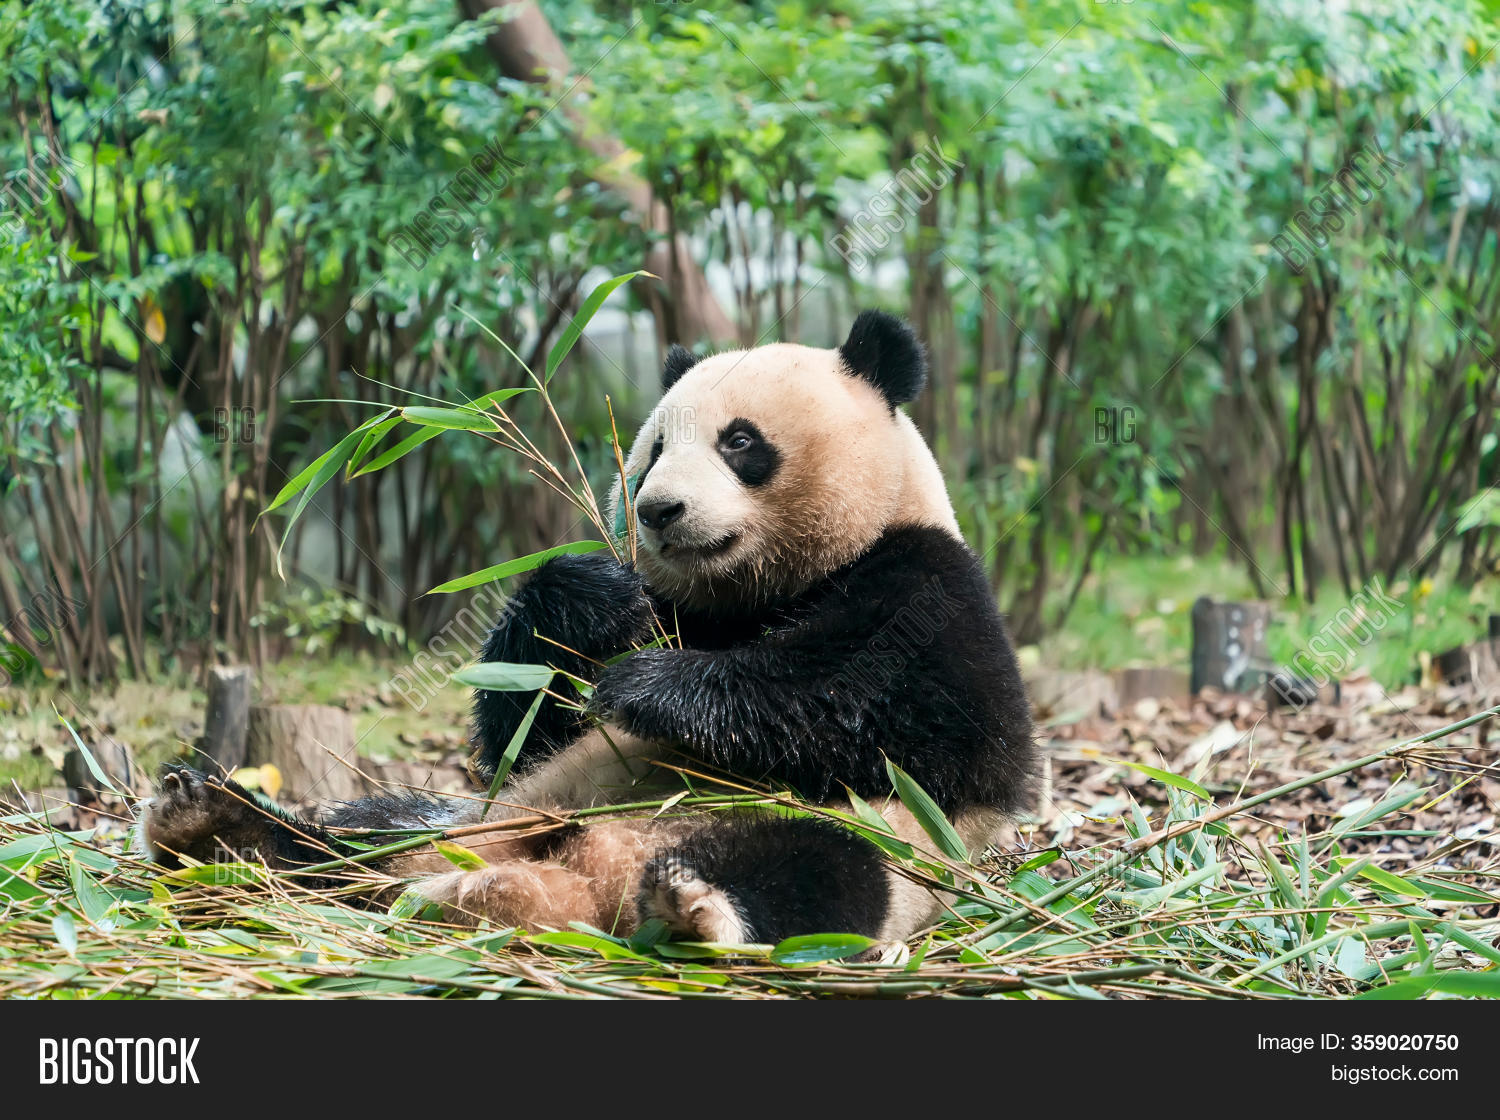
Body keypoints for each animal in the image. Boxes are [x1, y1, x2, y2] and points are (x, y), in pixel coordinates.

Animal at [141, 311, 1038, 948]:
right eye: (651, 453)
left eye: (740, 441)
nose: (659, 511)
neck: (754, 592)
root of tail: (579, 878)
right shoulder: (666, 611)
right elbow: (524, 721)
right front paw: (591, 598)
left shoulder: (926, 581)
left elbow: (903, 713)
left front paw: (649, 687)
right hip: (475, 816)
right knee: (357, 838)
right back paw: (218, 825)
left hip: (861, 839)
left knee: (814, 871)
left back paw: (690, 906)